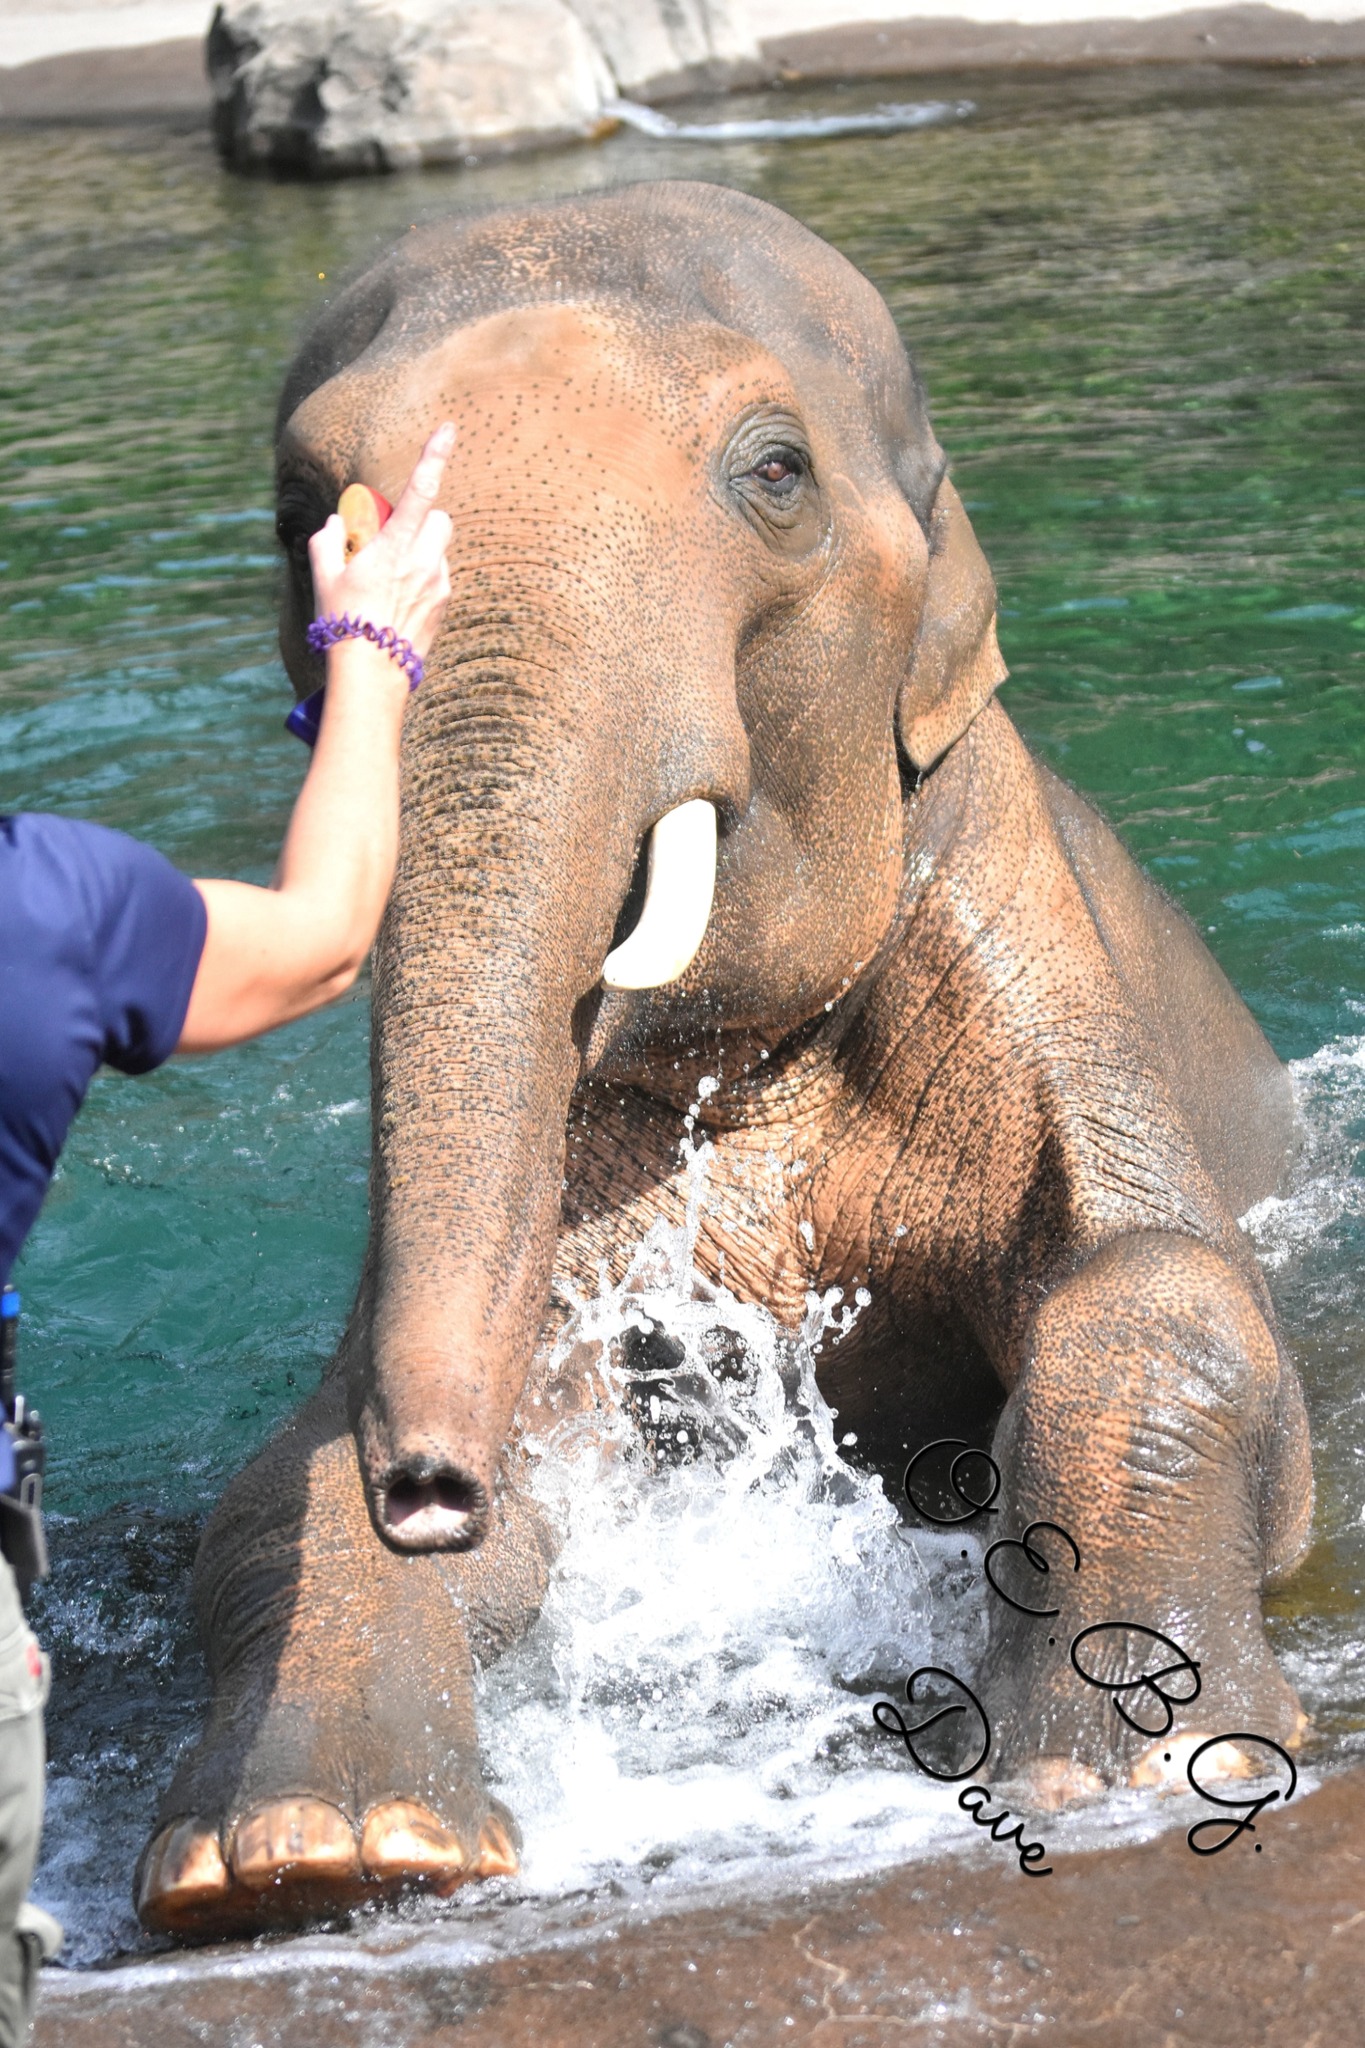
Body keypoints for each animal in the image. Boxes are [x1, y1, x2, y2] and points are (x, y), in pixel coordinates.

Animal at [135, 180, 1313, 1936]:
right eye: (293, 510)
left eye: (775, 475)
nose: (429, 1488)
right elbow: (306, 1468)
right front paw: (307, 1851)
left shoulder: (1013, 924)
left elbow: (1165, 1290)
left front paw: (1129, 1765)